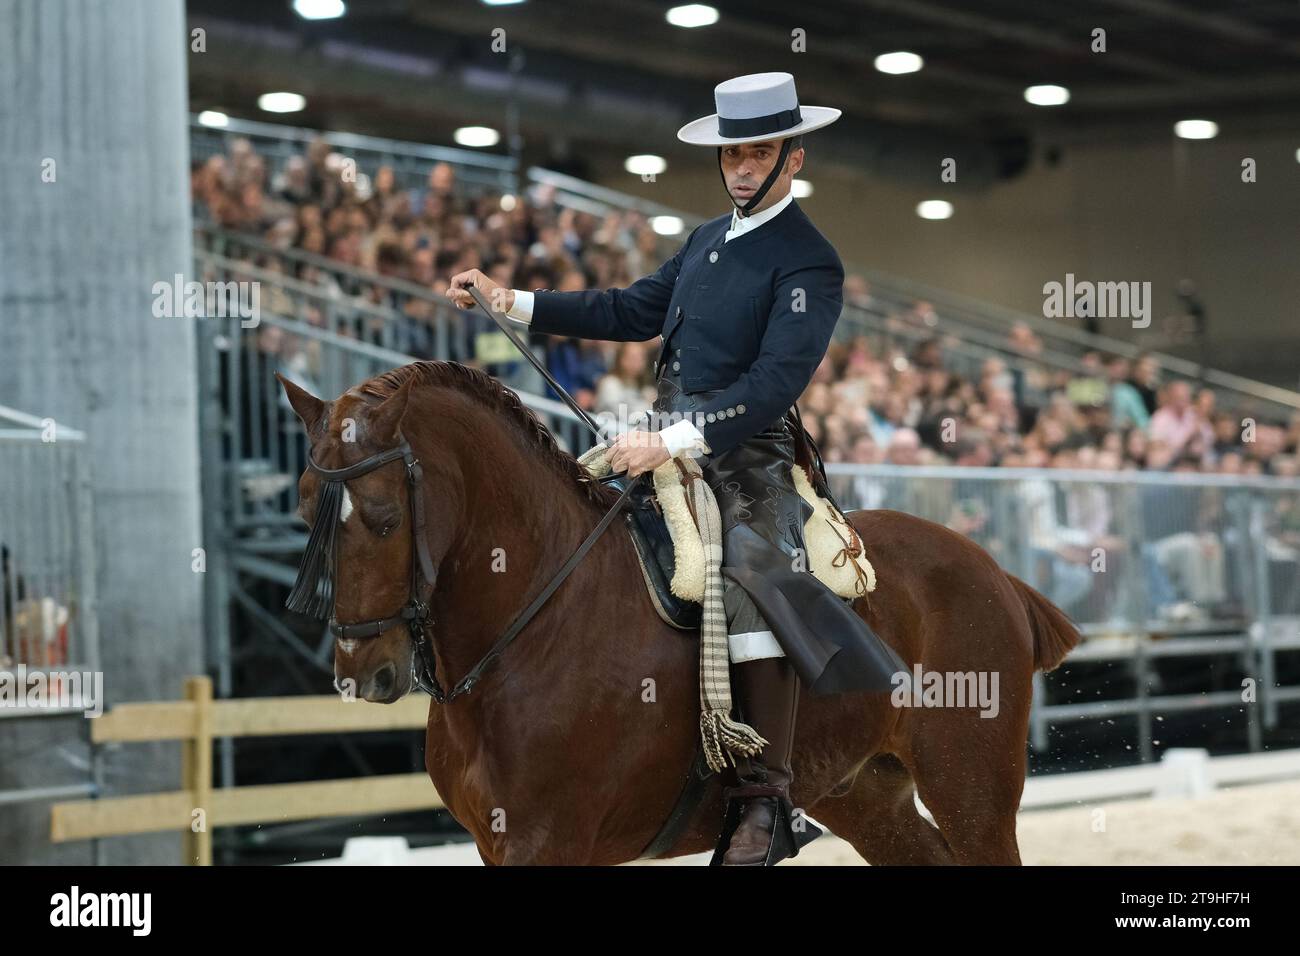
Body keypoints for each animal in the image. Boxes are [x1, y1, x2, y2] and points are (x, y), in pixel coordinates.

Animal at [279, 361, 1079, 865]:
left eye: (383, 519)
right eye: (302, 507)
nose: (363, 675)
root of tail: (991, 567)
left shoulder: (548, 841)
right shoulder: (496, 842)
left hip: (971, 788)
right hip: (865, 795)